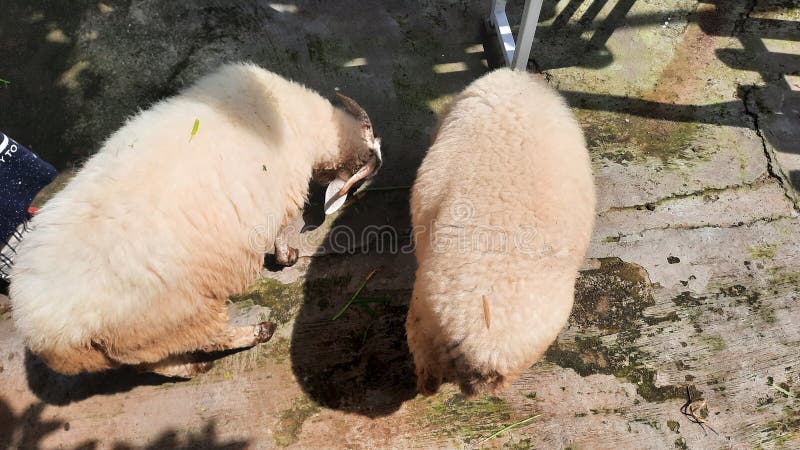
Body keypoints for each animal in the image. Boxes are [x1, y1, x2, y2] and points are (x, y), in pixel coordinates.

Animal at [10, 63, 382, 377]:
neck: (291, 117)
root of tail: (43, 335)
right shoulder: (277, 198)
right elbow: (278, 232)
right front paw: (286, 257)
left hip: (136, 342)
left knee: (152, 366)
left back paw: (190, 368)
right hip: (180, 315)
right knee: (213, 337)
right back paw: (257, 333)